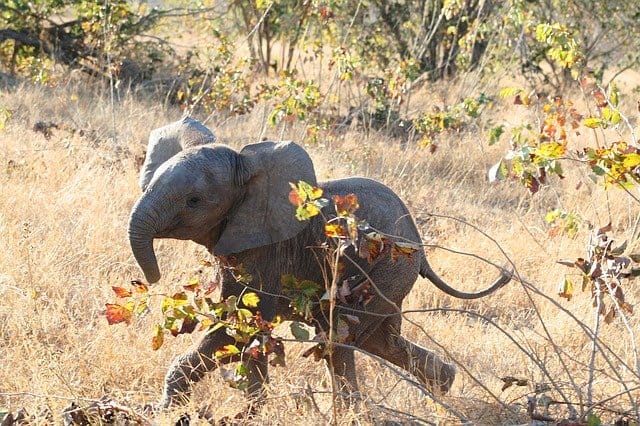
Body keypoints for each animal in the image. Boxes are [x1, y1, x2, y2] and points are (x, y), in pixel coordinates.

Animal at [127, 140, 511, 408]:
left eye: (193, 201)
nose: (152, 279)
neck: (246, 166)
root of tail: (420, 244)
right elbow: (239, 326)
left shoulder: (269, 252)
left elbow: (242, 324)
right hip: (390, 276)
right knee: (379, 341)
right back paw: (445, 387)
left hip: (387, 270)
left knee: (337, 340)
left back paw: (352, 411)